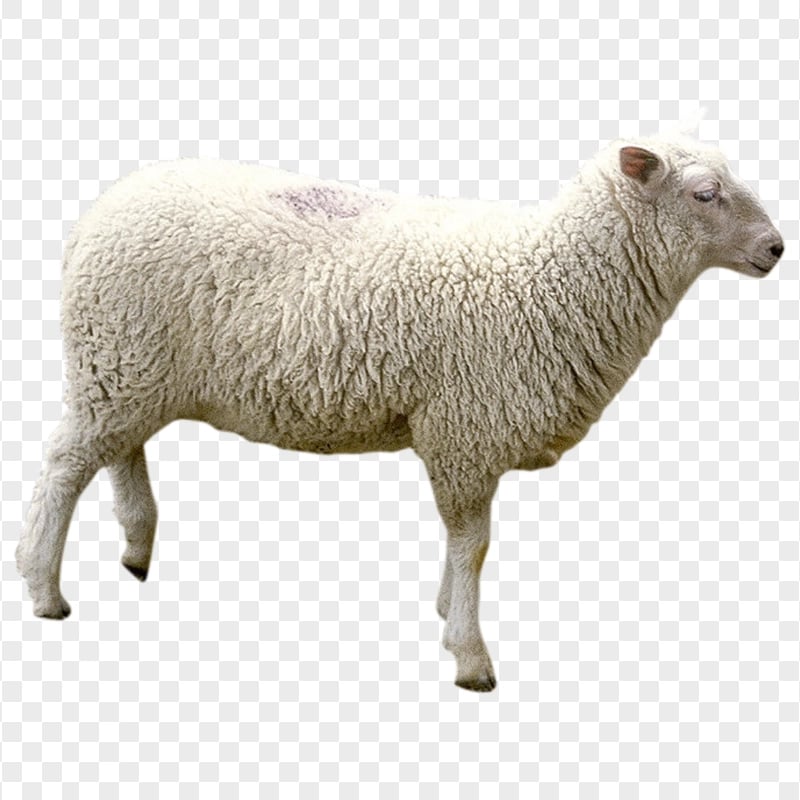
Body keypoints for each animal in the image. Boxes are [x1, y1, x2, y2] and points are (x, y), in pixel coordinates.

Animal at [17, 133, 784, 692]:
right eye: (706, 193)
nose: (777, 248)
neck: (550, 279)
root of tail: (95, 216)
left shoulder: (460, 438)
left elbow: (463, 547)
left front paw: (447, 612)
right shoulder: (463, 432)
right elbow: (474, 546)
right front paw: (469, 654)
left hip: (133, 369)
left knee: (121, 450)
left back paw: (136, 546)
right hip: (117, 359)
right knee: (63, 468)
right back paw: (43, 586)